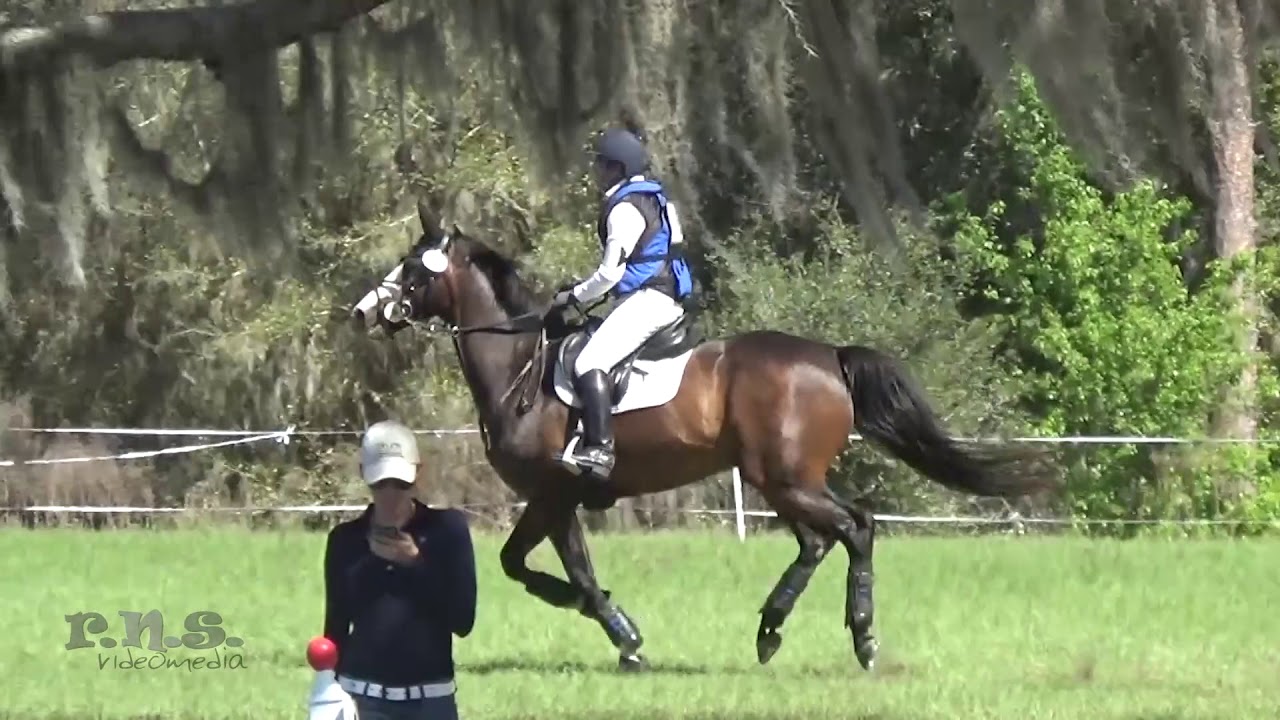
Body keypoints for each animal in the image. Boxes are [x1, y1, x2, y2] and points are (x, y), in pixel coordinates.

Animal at [351, 201, 1061, 673]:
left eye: (413, 269)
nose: (362, 312)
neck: (521, 364)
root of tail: (830, 358)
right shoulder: (554, 500)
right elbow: (540, 568)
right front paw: (611, 623)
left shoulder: (554, 495)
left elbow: (551, 569)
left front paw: (620, 631)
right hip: (780, 479)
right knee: (818, 542)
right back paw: (770, 630)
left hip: (786, 478)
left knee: (854, 528)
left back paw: (860, 639)